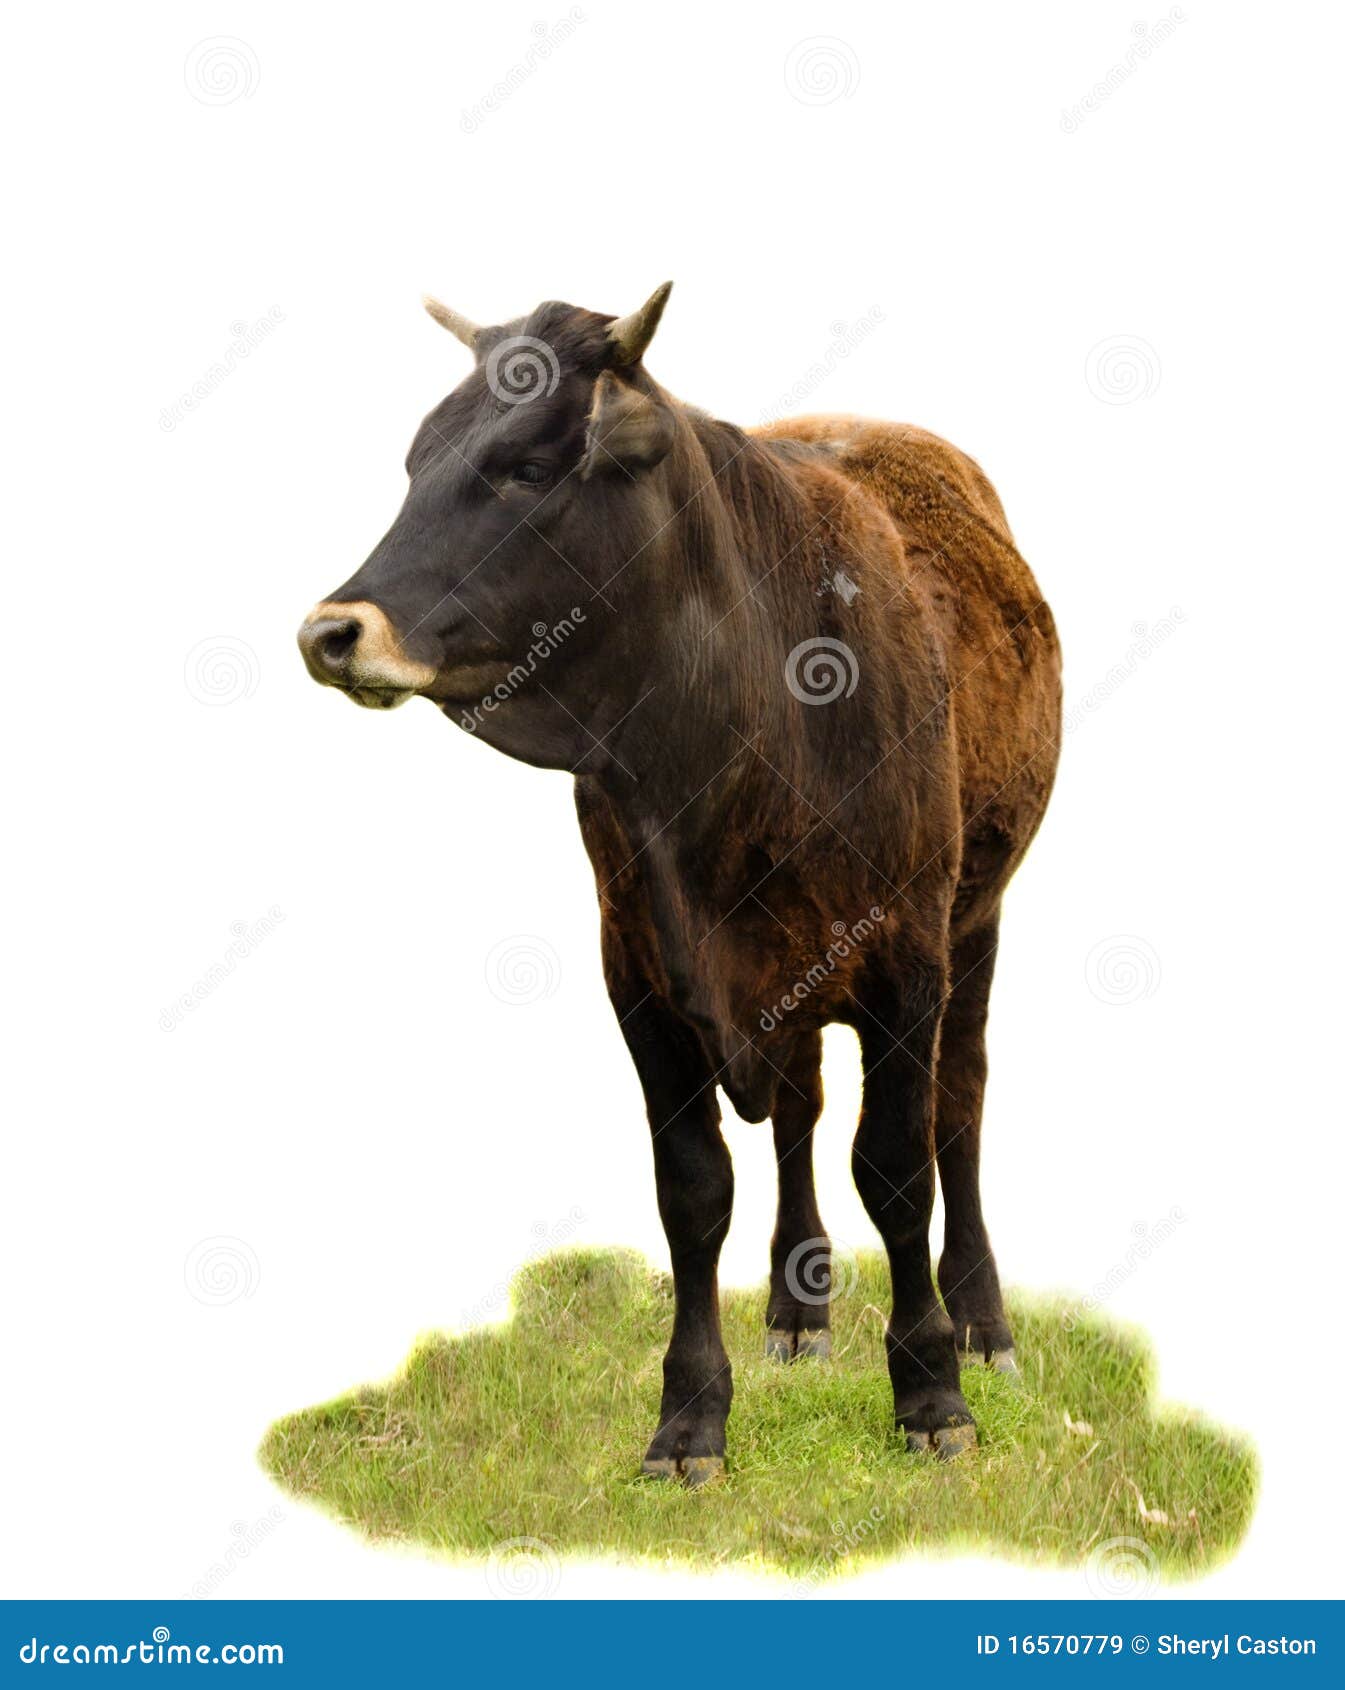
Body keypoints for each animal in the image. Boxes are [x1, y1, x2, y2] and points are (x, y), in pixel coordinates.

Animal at [298, 284, 1062, 1484]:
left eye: (527, 467)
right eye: (416, 459)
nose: (333, 632)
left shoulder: (905, 954)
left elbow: (897, 1166)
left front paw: (931, 1391)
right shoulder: (641, 971)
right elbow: (694, 1189)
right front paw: (690, 1418)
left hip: (975, 917)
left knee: (961, 1106)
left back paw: (984, 1321)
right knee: (797, 1107)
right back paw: (799, 1308)